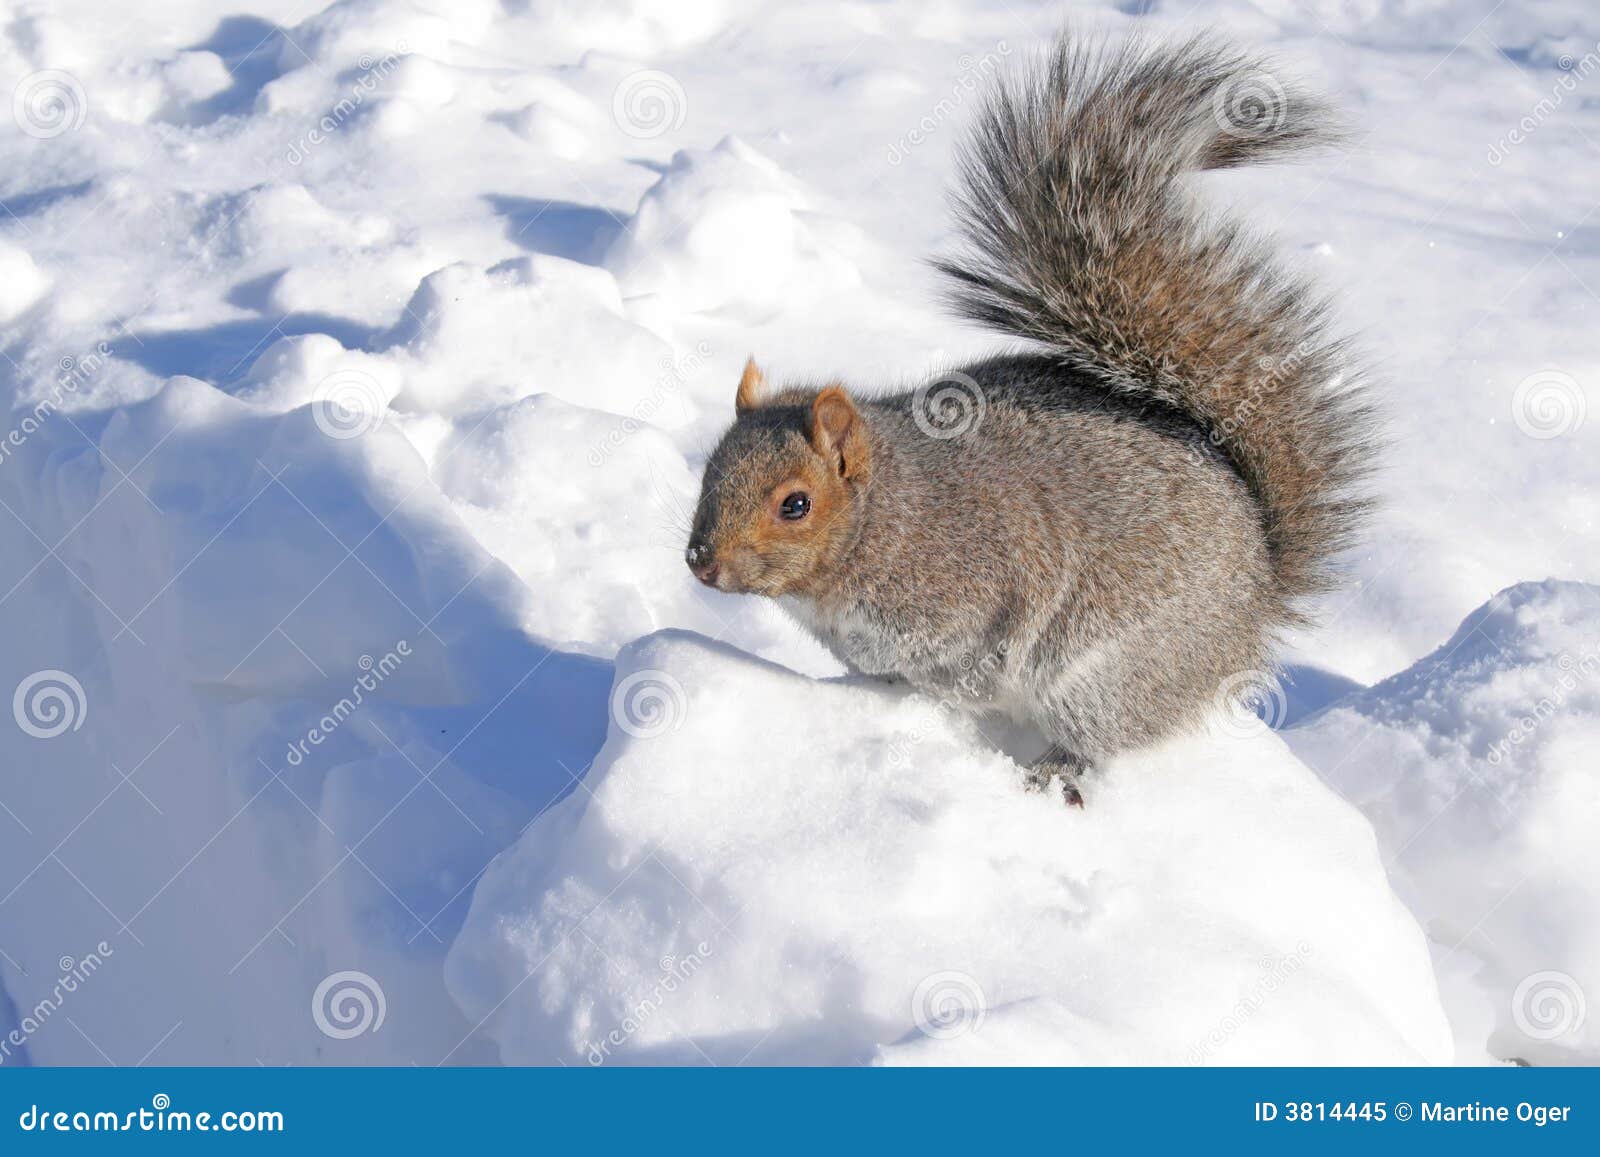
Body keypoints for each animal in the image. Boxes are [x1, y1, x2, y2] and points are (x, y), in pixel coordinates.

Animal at [684, 33, 1376, 804]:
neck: (890, 516)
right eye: (709, 470)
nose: (701, 561)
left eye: (796, 504)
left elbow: (969, 657)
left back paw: (1052, 772)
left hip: (1106, 674)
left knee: (1102, 736)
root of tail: (1258, 592)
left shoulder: (977, 584)